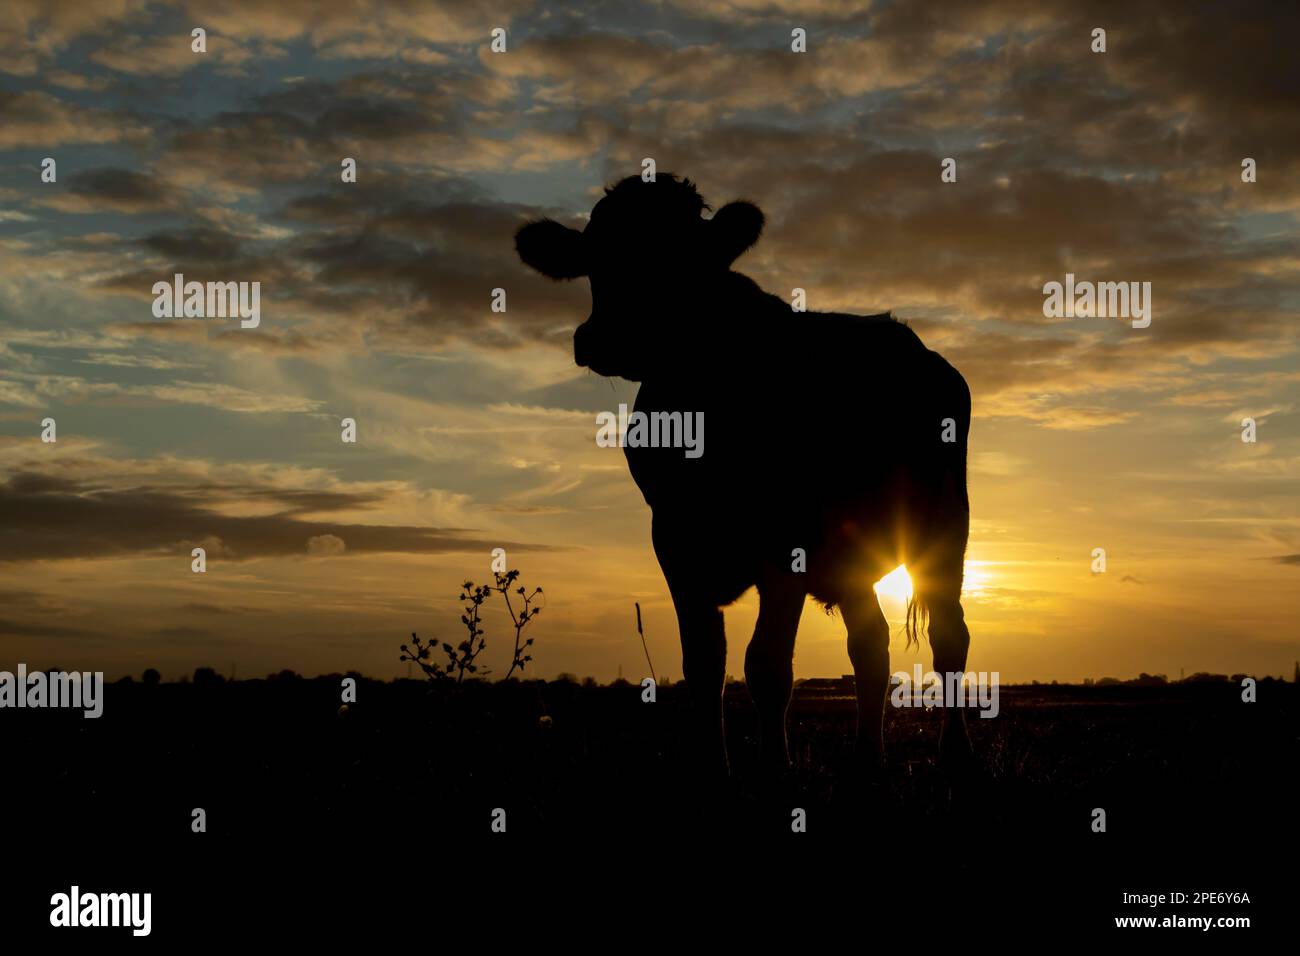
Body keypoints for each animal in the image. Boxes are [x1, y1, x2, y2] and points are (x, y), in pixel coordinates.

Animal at [516, 174, 974, 780]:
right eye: (594, 257)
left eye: (686, 257)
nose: (606, 338)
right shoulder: (673, 540)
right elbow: (705, 663)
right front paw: (714, 765)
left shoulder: (785, 543)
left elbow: (768, 666)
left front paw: (776, 768)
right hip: (853, 558)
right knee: (870, 647)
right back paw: (865, 762)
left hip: (944, 530)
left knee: (950, 639)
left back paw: (955, 757)